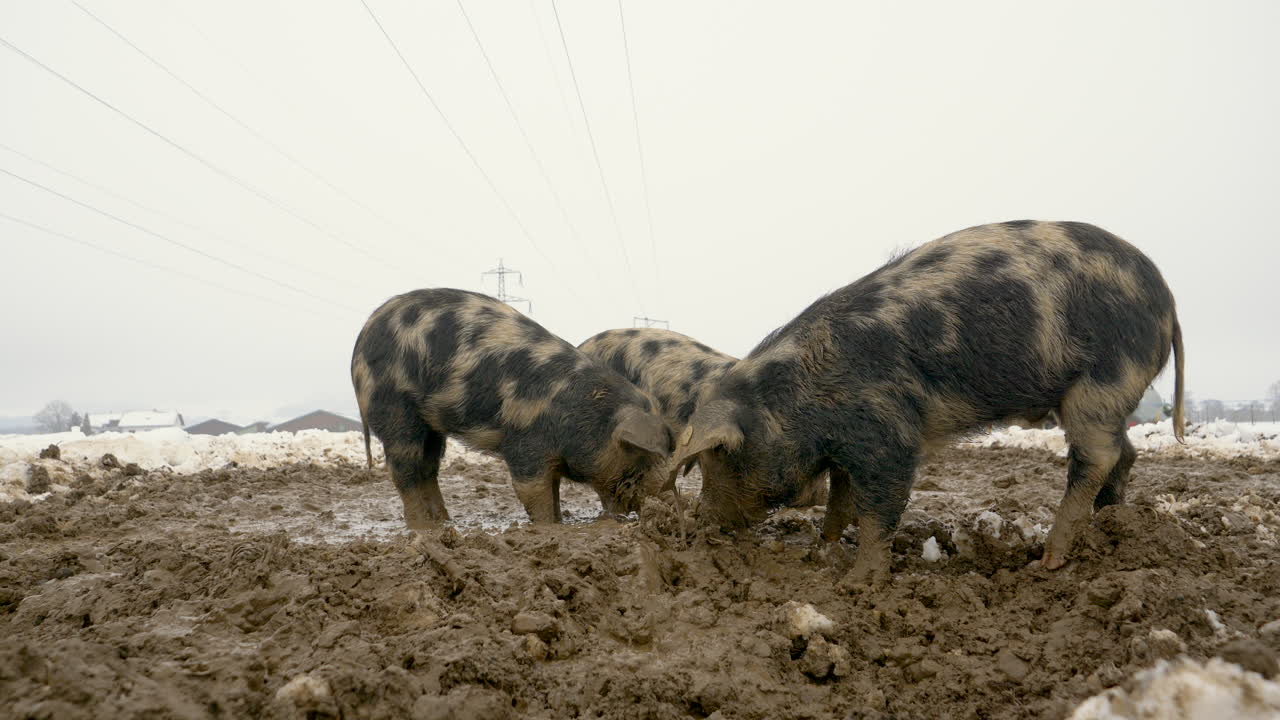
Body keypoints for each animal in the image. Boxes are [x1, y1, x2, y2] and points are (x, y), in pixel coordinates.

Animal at [351, 289, 673, 528]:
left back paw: (444, 522)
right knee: (404, 470)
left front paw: (559, 521)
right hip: (394, 408)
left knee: (428, 469)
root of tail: (360, 341)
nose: (662, 499)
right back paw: (423, 528)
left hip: (431, 424)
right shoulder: (524, 444)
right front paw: (548, 528)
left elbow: (553, 490)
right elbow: (534, 493)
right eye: (638, 458)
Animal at [670, 221, 1184, 584]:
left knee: (1096, 456)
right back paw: (1112, 522)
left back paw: (1049, 561)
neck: (798, 400)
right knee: (1125, 452)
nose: (699, 521)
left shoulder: (886, 432)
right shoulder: (846, 446)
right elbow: (840, 499)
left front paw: (856, 583)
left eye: (717, 456)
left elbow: (877, 508)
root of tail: (1168, 300)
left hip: (1103, 380)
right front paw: (821, 551)